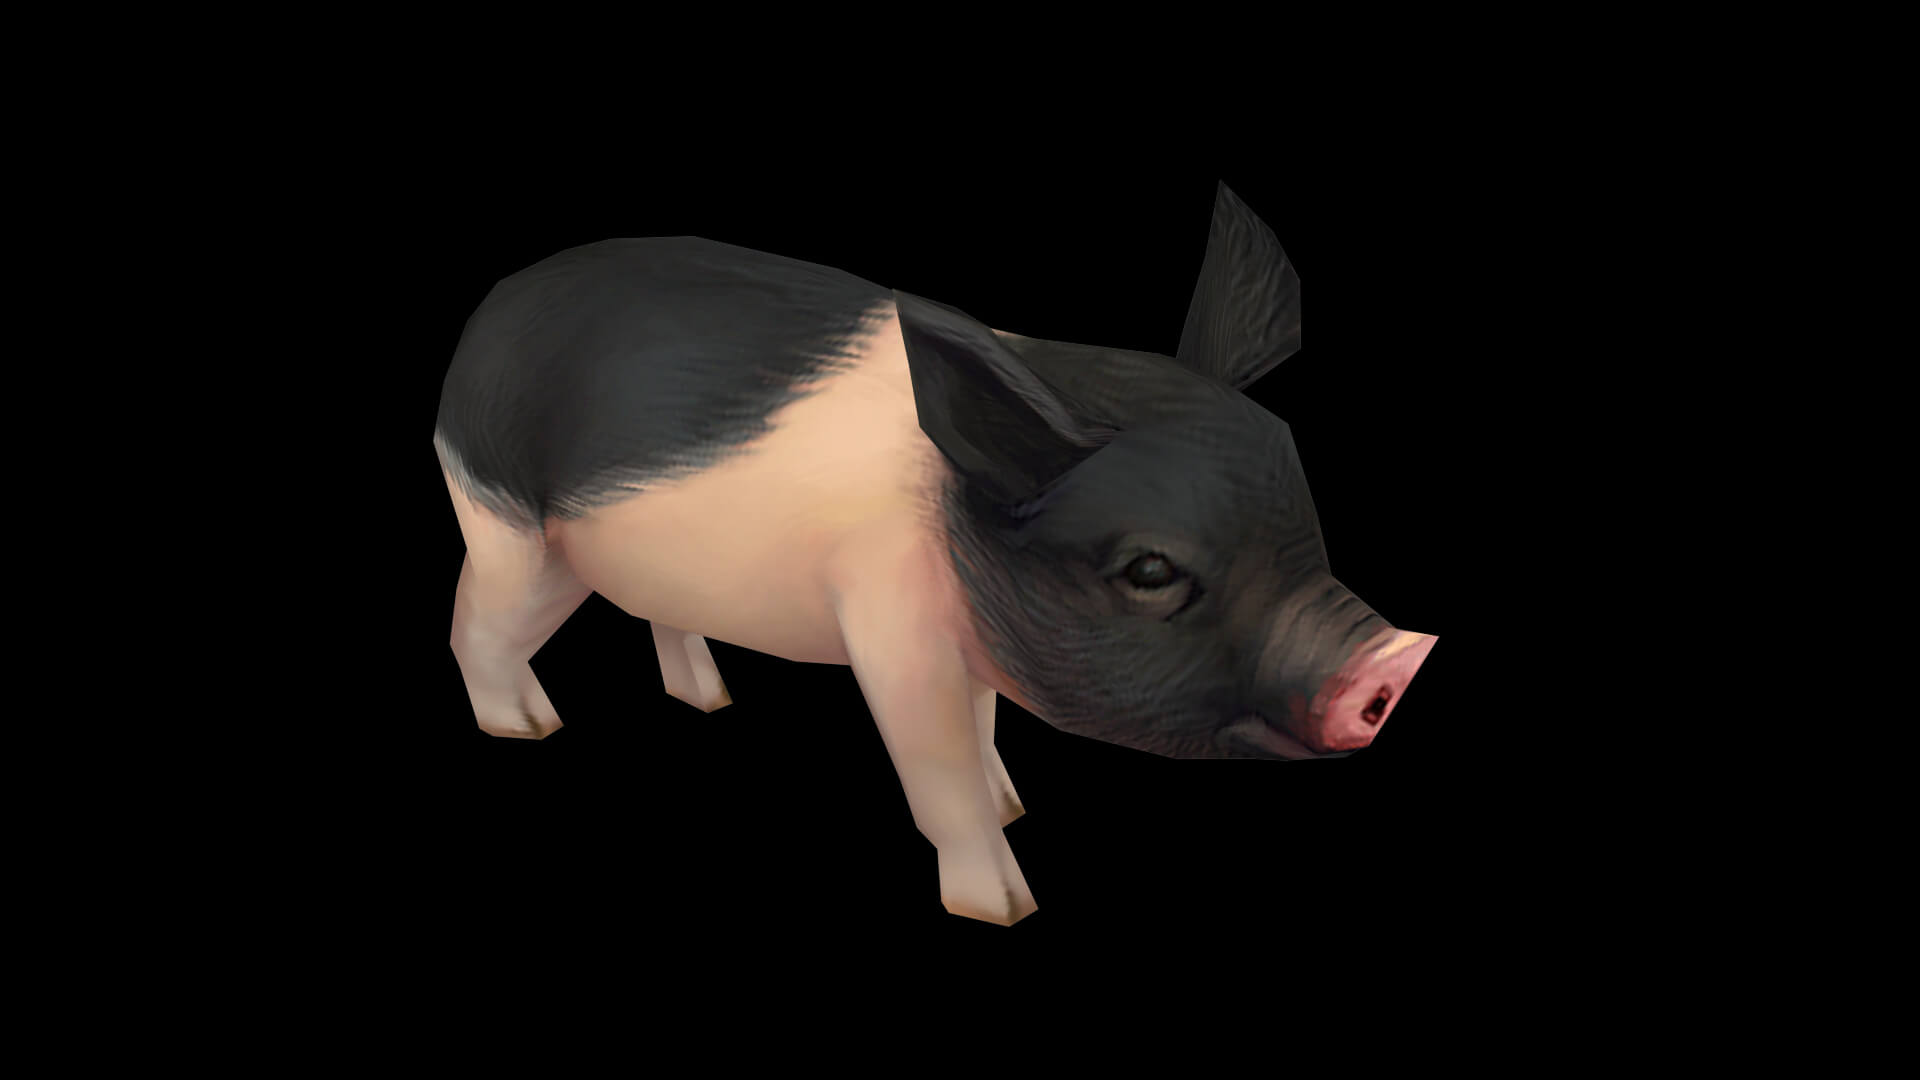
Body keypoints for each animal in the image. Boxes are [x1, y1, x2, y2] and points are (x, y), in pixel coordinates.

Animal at [434, 182, 1438, 925]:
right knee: (474, 627)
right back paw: (529, 728)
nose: (1399, 655)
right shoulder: (891, 637)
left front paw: (1015, 802)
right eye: (1149, 571)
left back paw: (711, 702)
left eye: (1303, 505)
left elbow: (986, 735)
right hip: (509, 531)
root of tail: (486, 317)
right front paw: (1004, 907)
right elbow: (940, 772)